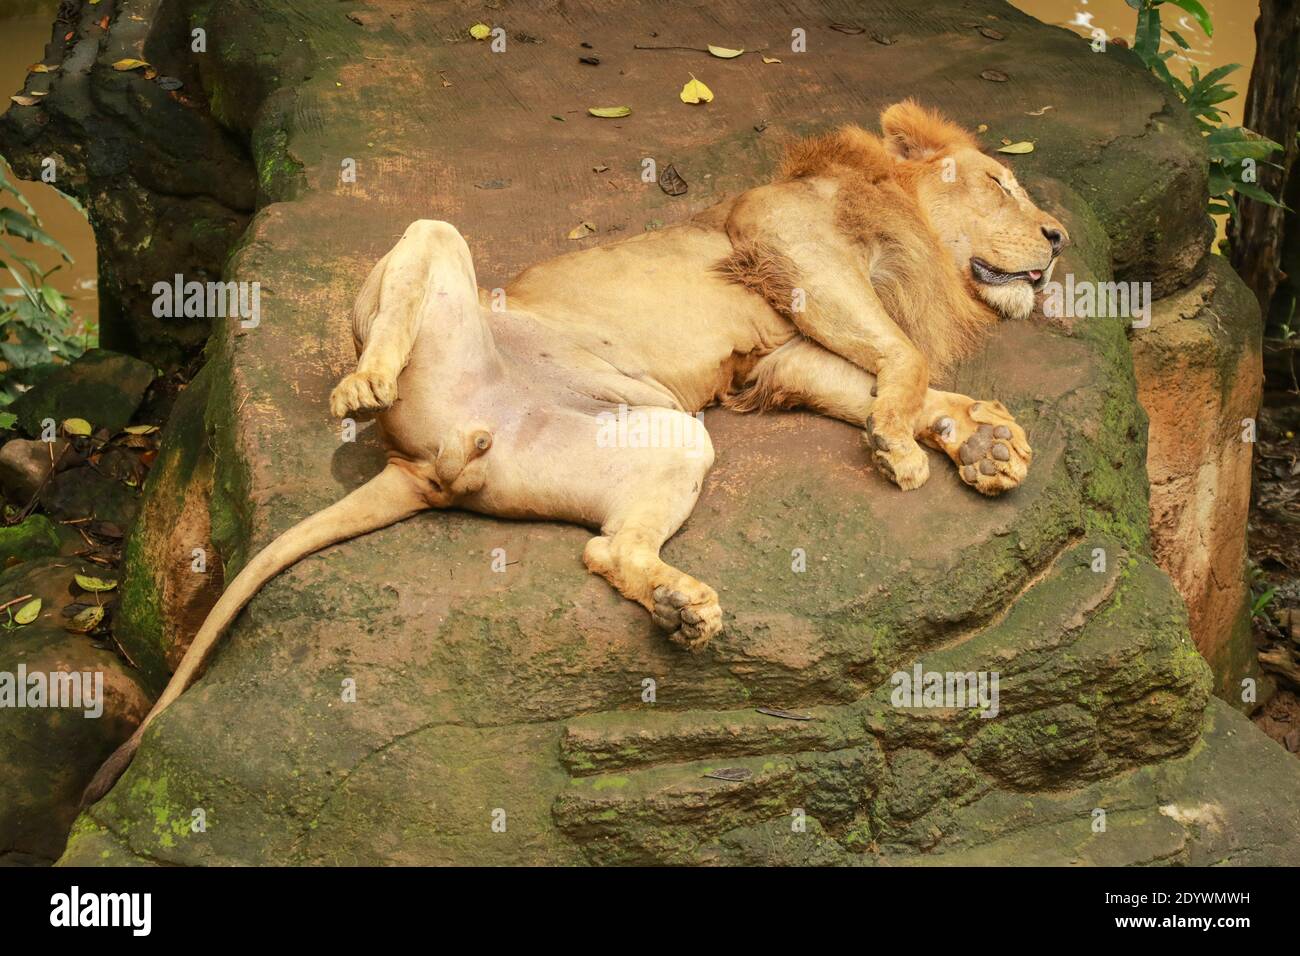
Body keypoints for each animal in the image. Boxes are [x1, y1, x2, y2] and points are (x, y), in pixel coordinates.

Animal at [84, 100, 1068, 803]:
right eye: (1000, 183)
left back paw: (682, 607)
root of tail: (420, 468)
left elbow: (894, 384)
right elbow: (903, 358)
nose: (1061, 239)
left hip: (671, 436)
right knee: (420, 270)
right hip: (440, 259)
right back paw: (359, 386)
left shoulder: (782, 357)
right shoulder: (799, 257)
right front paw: (908, 450)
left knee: (608, 548)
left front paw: (981, 443)